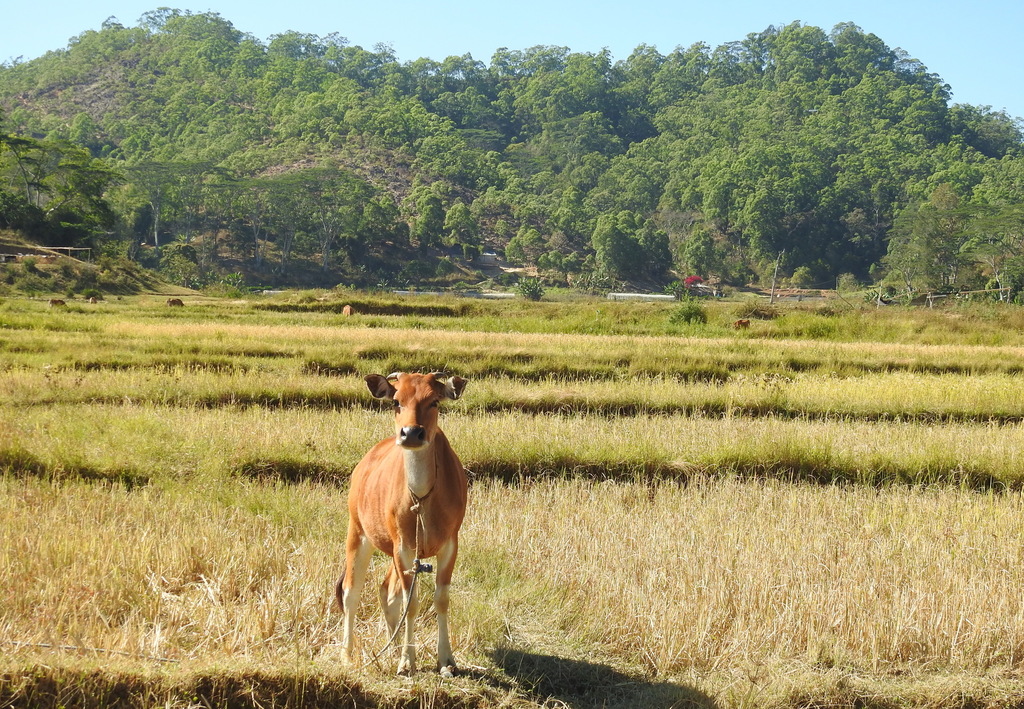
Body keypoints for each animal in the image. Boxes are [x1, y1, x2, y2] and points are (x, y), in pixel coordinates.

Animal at [337, 372, 468, 676]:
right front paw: (408, 661)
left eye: (434, 401)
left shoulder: (450, 544)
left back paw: (393, 648)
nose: (410, 433)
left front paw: (446, 660)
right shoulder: (402, 547)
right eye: (396, 401)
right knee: (351, 592)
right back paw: (348, 654)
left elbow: (440, 599)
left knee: (387, 591)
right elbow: (412, 602)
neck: (422, 497)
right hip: (357, 532)